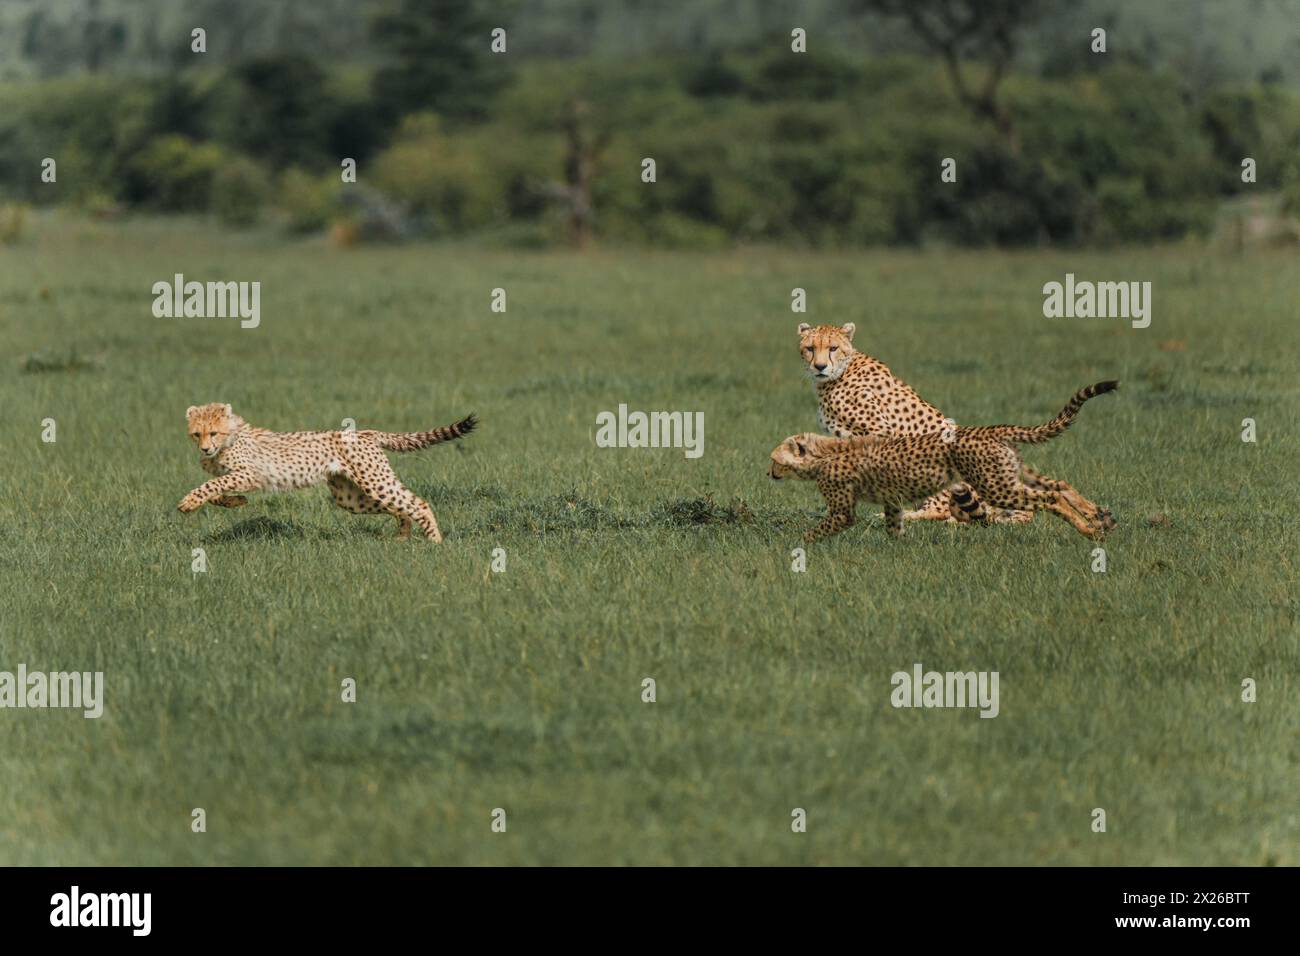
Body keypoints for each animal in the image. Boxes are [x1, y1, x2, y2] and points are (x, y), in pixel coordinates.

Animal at [178, 403, 476, 542]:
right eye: (196, 434)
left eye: (213, 432)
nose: (205, 449)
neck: (228, 439)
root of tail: (365, 432)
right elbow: (217, 489)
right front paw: (236, 501)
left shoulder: (250, 474)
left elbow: (213, 485)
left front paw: (189, 502)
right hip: (350, 497)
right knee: (400, 507)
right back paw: (403, 536)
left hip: (374, 481)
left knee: (418, 502)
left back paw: (435, 541)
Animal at [769, 381, 1119, 542]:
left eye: (775, 459)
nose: (769, 473)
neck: (821, 453)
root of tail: (990, 429)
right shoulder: (891, 499)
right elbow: (894, 526)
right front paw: (897, 549)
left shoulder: (843, 511)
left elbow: (820, 529)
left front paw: (796, 544)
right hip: (1010, 476)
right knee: (1059, 485)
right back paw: (1099, 519)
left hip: (997, 487)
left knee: (1050, 497)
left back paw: (1090, 531)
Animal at [796, 322, 1115, 532]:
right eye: (810, 349)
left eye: (833, 348)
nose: (820, 366)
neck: (837, 375)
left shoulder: (879, 434)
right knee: (1055, 484)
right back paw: (1098, 514)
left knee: (945, 513)